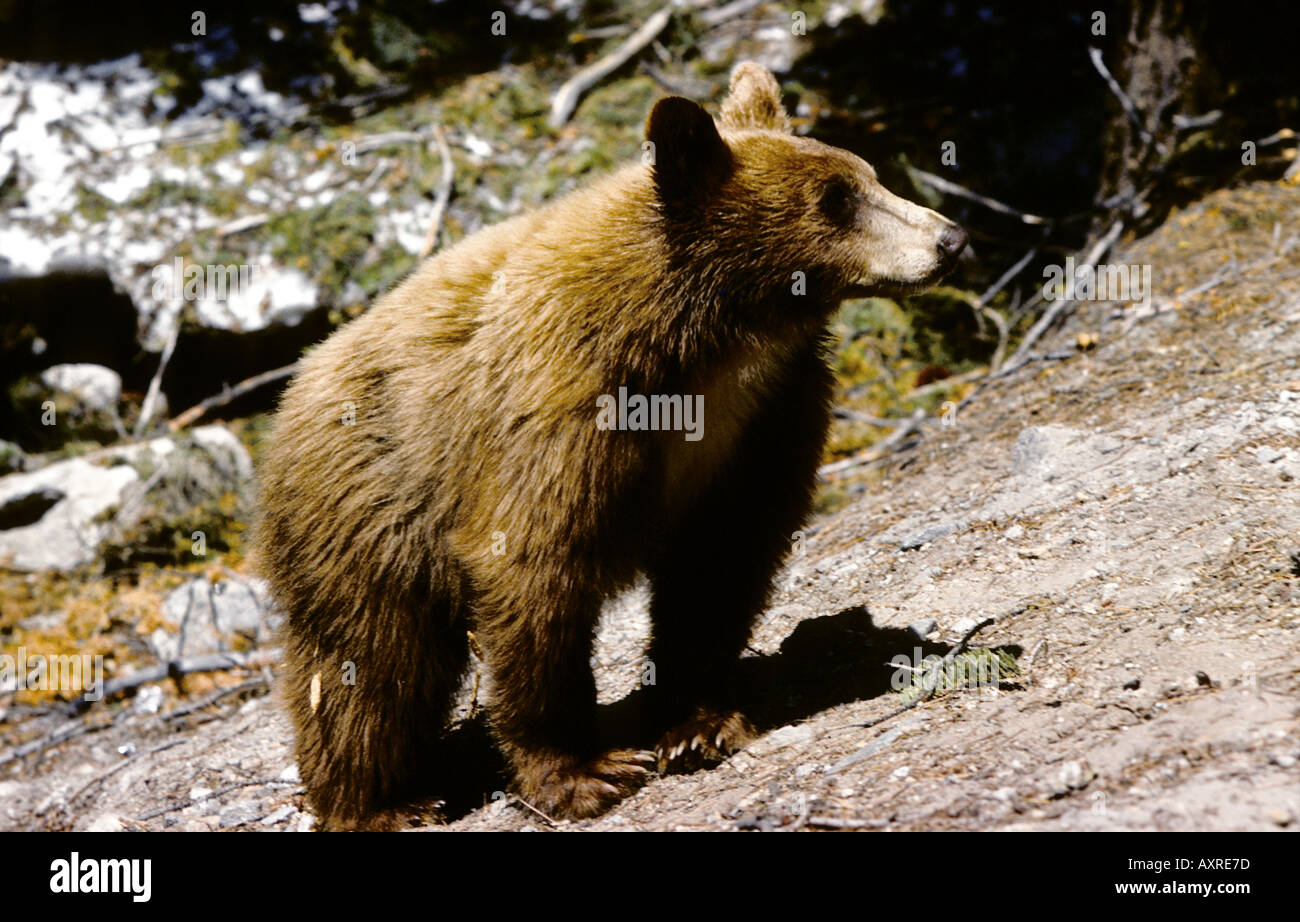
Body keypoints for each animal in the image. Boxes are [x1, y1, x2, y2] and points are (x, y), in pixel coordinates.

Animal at [257, 62, 967, 830]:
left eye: (868, 175)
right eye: (836, 199)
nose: (951, 238)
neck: (706, 340)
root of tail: (293, 391)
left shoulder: (767, 413)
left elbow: (721, 556)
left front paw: (697, 724)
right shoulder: (564, 403)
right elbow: (534, 563)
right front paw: (581, 772)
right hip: (367, 508)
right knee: (371, 658)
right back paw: (381, 803)